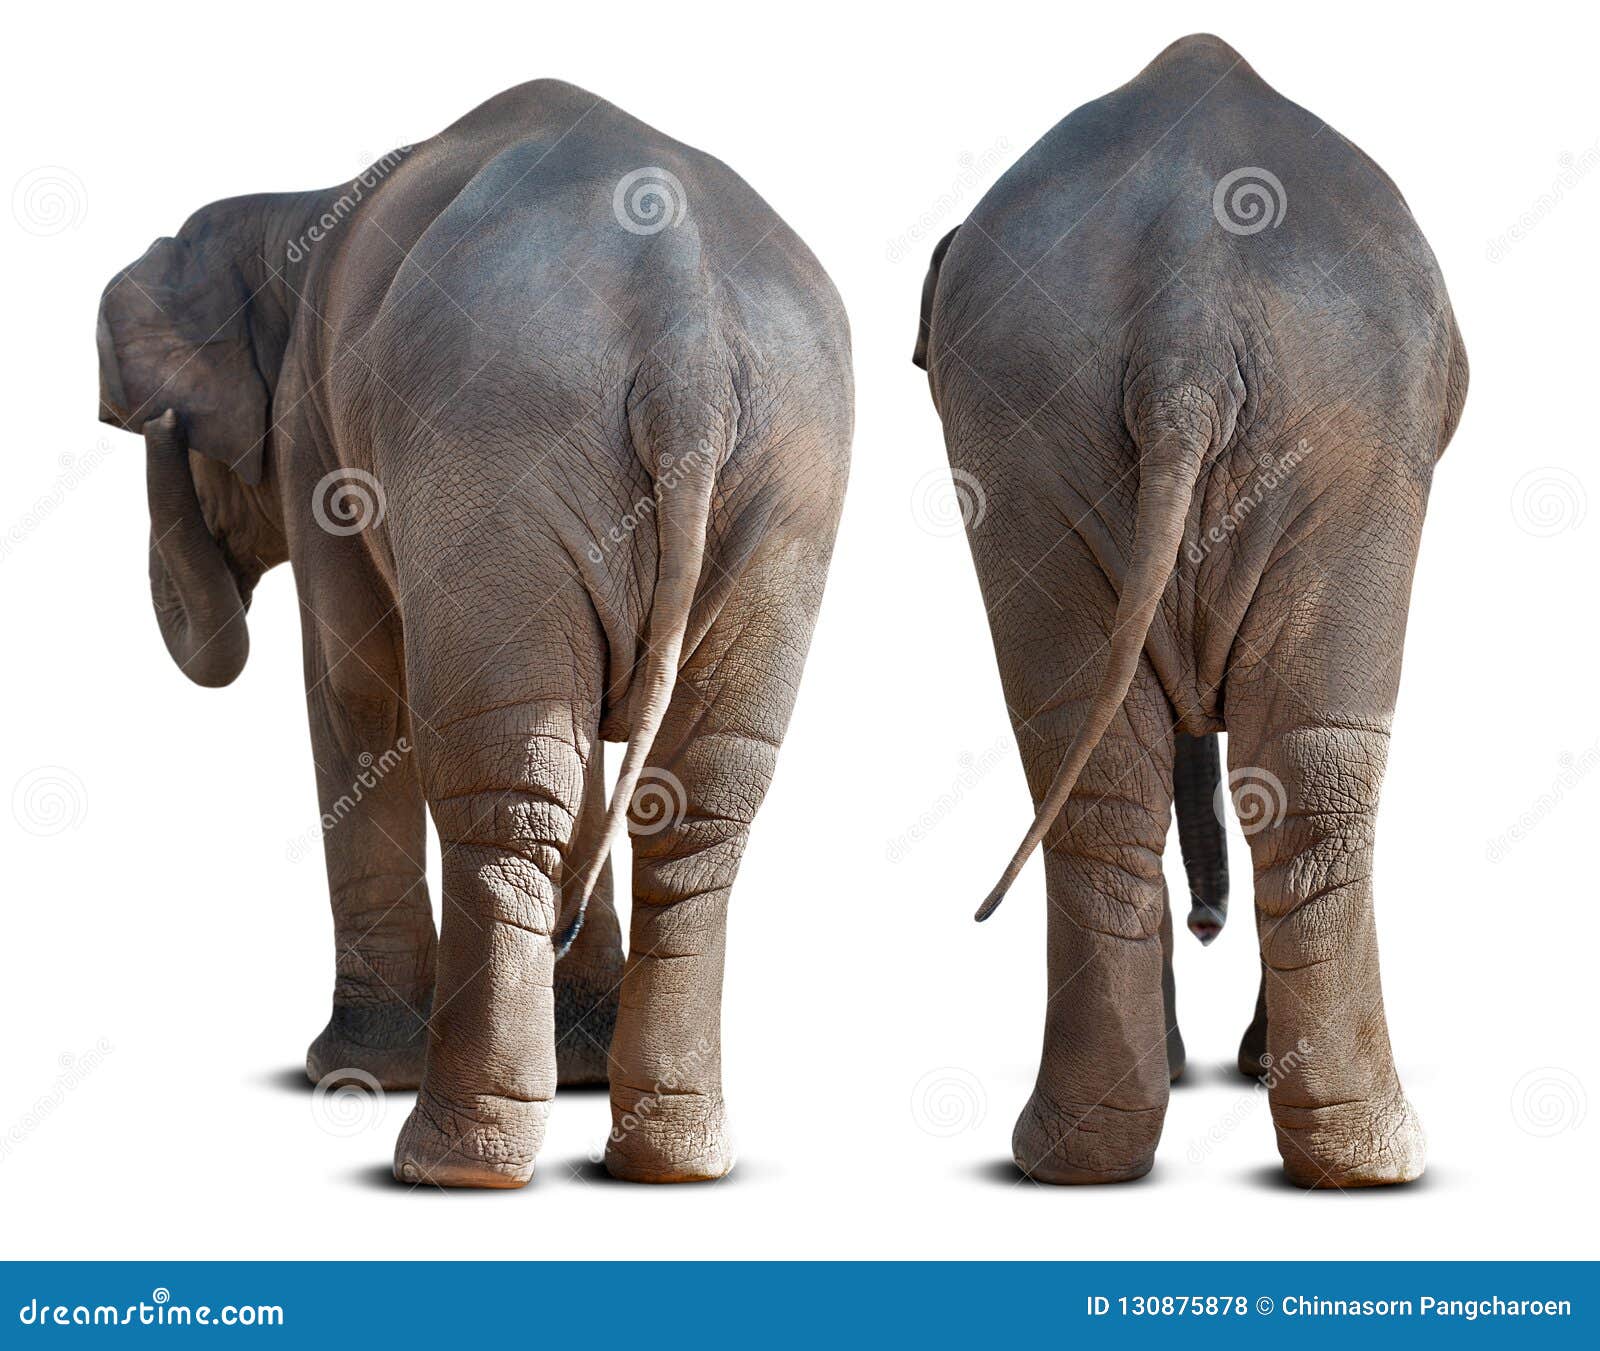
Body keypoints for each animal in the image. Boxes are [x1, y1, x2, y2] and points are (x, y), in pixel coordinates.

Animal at [97, 80, 852, 1187]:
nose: (156, 425)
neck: (296, 207)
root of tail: (685, 338)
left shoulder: (321, 438)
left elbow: (356, 685)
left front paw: (348, 1071)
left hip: (502, 443)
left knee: (505, 777)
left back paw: (453, 1163)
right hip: (789, 475)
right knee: (686, 797)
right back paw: (667, 1158)